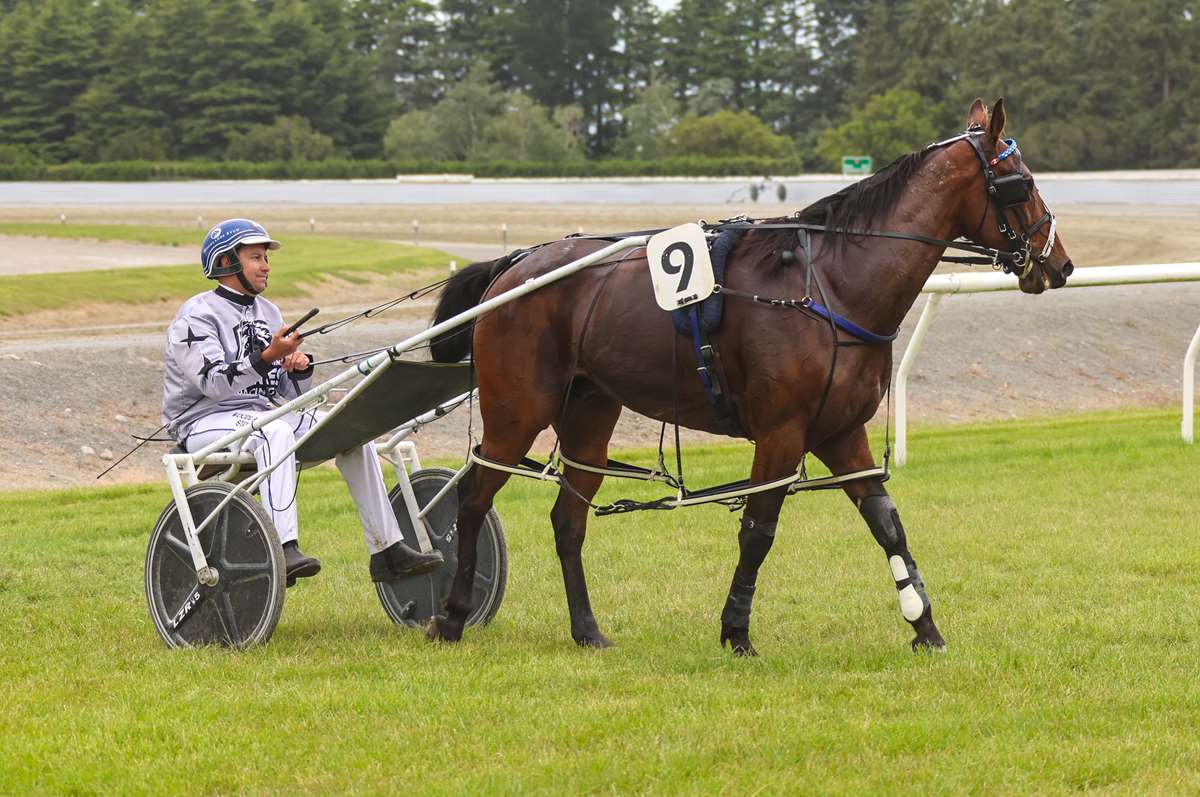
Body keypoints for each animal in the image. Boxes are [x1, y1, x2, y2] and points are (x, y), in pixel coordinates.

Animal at [425, 98, 1074, 655]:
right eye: (1020, 182)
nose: (1061, 263)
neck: (830, 286)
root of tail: (515, 265)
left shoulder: (841, 432)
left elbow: (888, 525)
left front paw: (925, 627)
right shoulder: (781, 433)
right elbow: (759, 531)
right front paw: (736, 631)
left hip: (588, 412)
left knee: (568, 519)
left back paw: (587, 630)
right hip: (517, 410)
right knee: (473, 496)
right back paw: (451, 617)